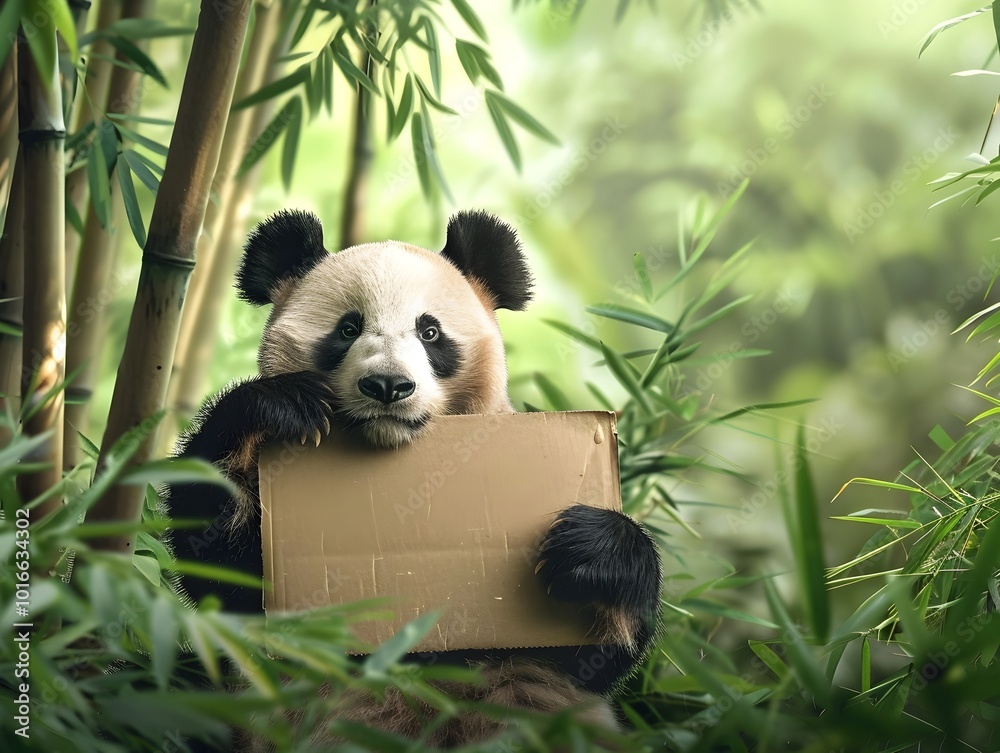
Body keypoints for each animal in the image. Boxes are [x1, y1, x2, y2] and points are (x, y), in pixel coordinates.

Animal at [168, 209, 663, 748]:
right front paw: (280, 405)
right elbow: (222, 576)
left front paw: (590, 549)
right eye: (347, 329)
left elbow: (590, 659)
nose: (387, 385)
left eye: (430, 332)